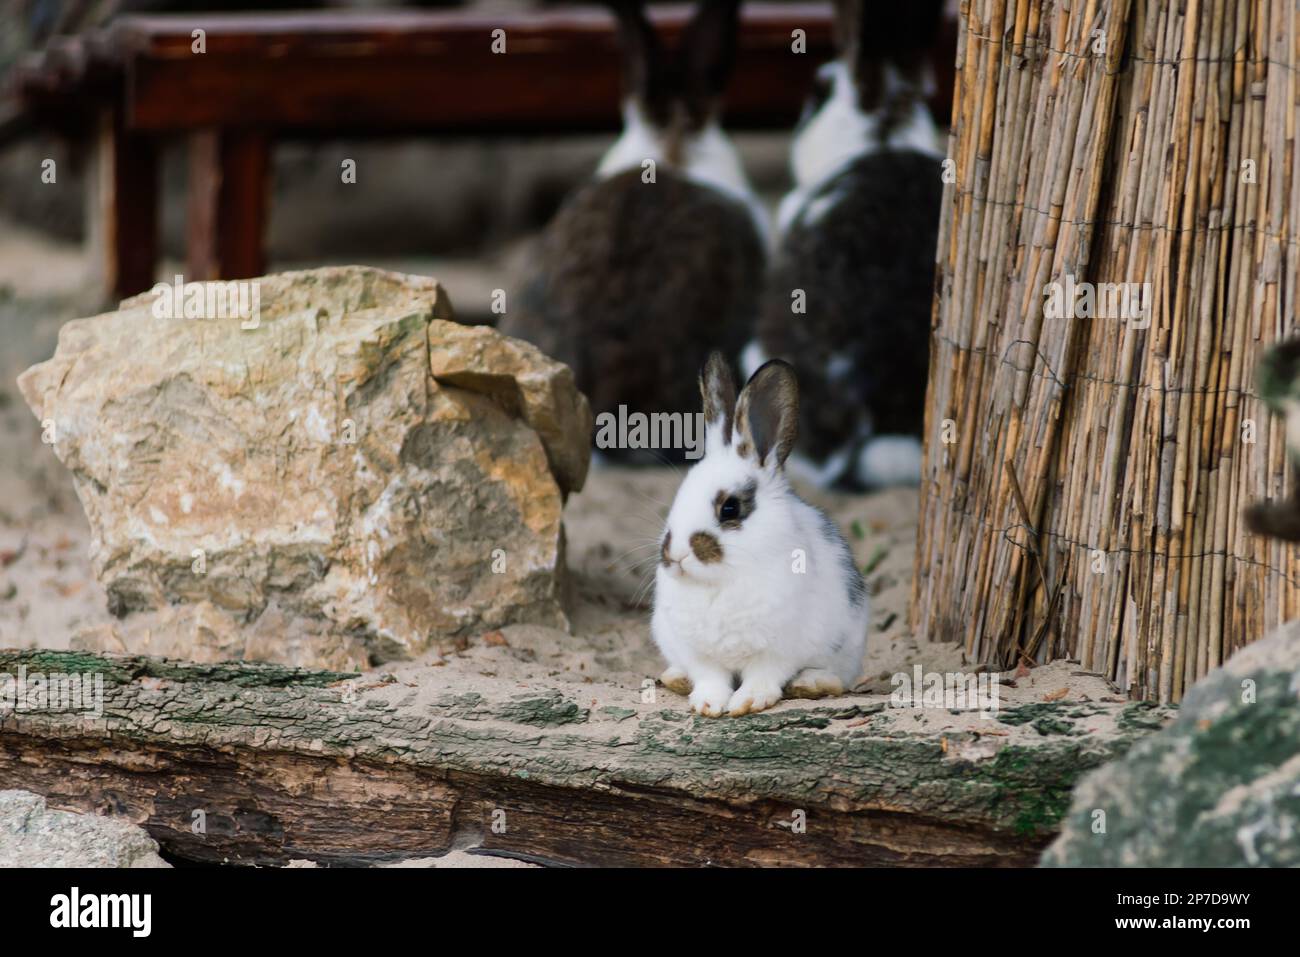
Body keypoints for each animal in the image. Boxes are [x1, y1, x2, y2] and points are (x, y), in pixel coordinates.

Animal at [652, 352, 869, 717]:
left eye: (729, 508)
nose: (676, 554)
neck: (722, 580)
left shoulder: (778, 650)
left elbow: (764, 676)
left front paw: (748, 702)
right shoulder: (699, 653)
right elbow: (710, 677)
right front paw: (707, 703)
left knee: (836, 679)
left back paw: (810, 684)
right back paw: (676, 679)